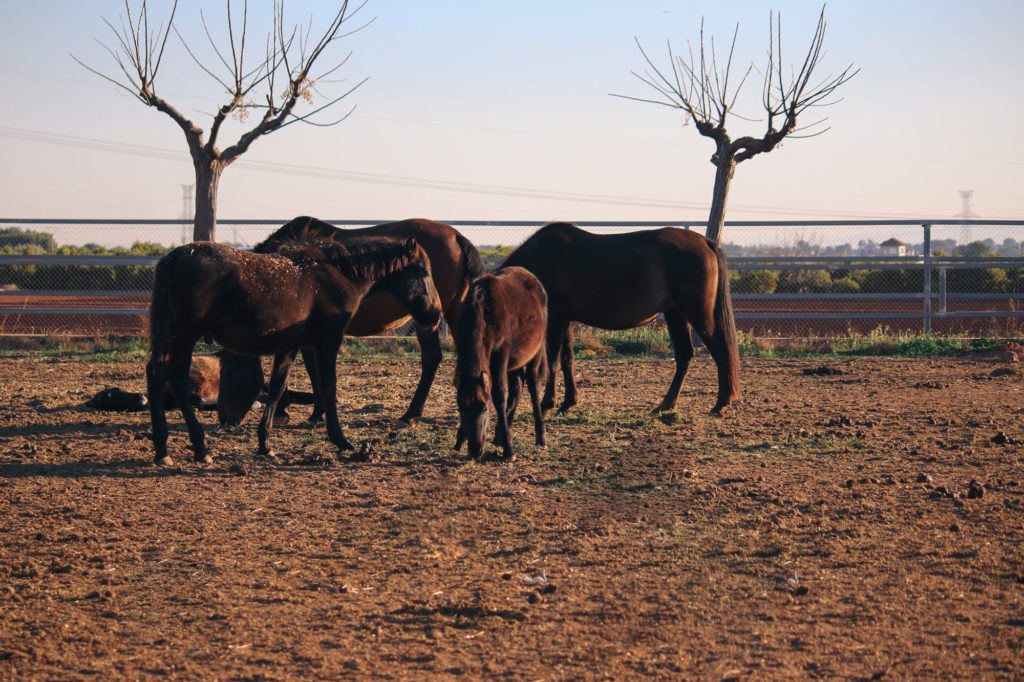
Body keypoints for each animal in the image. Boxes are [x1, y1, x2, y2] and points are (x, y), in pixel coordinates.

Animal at [146, 237, 442, 466]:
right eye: (424, 272)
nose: (435, 315)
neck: (338, 273)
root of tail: (171, 260)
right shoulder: (328, 342)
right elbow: (328, 387)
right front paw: (341, 440)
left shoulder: (290, 346)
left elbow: (277, 389)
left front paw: (265, 444)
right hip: (183, 336)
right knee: (165, 375)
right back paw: (180, 449)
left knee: (167, 376)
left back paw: (183, 448)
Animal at [216, 216, 485, 429]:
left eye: (228, 373)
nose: (225, 419)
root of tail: (457, 236)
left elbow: (311, 370)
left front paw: (311, 413)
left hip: (427, 319)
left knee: (431, 359)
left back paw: (410, 415)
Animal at [453, 266, 548, 461]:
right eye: (461, 408)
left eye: (484, 407)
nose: (475, 450)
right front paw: (460, 440)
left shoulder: (500, 355)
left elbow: (498, 395)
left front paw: (509, 450)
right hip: (515, 362)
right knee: (517, 388)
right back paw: (499, 436)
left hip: (534, 354)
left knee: (533, 386)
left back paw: (540, 437)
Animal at [501, 222, 740, 416]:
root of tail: (705, 242)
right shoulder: (565, 320)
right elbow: (567, 359)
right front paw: (568, 402)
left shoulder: (557, 318)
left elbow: (552, 360)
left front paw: (547, 404)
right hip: (676, 314)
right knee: (685, 356)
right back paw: (666, 405)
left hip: (696, 313)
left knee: (720, 350)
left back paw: (720, 404)